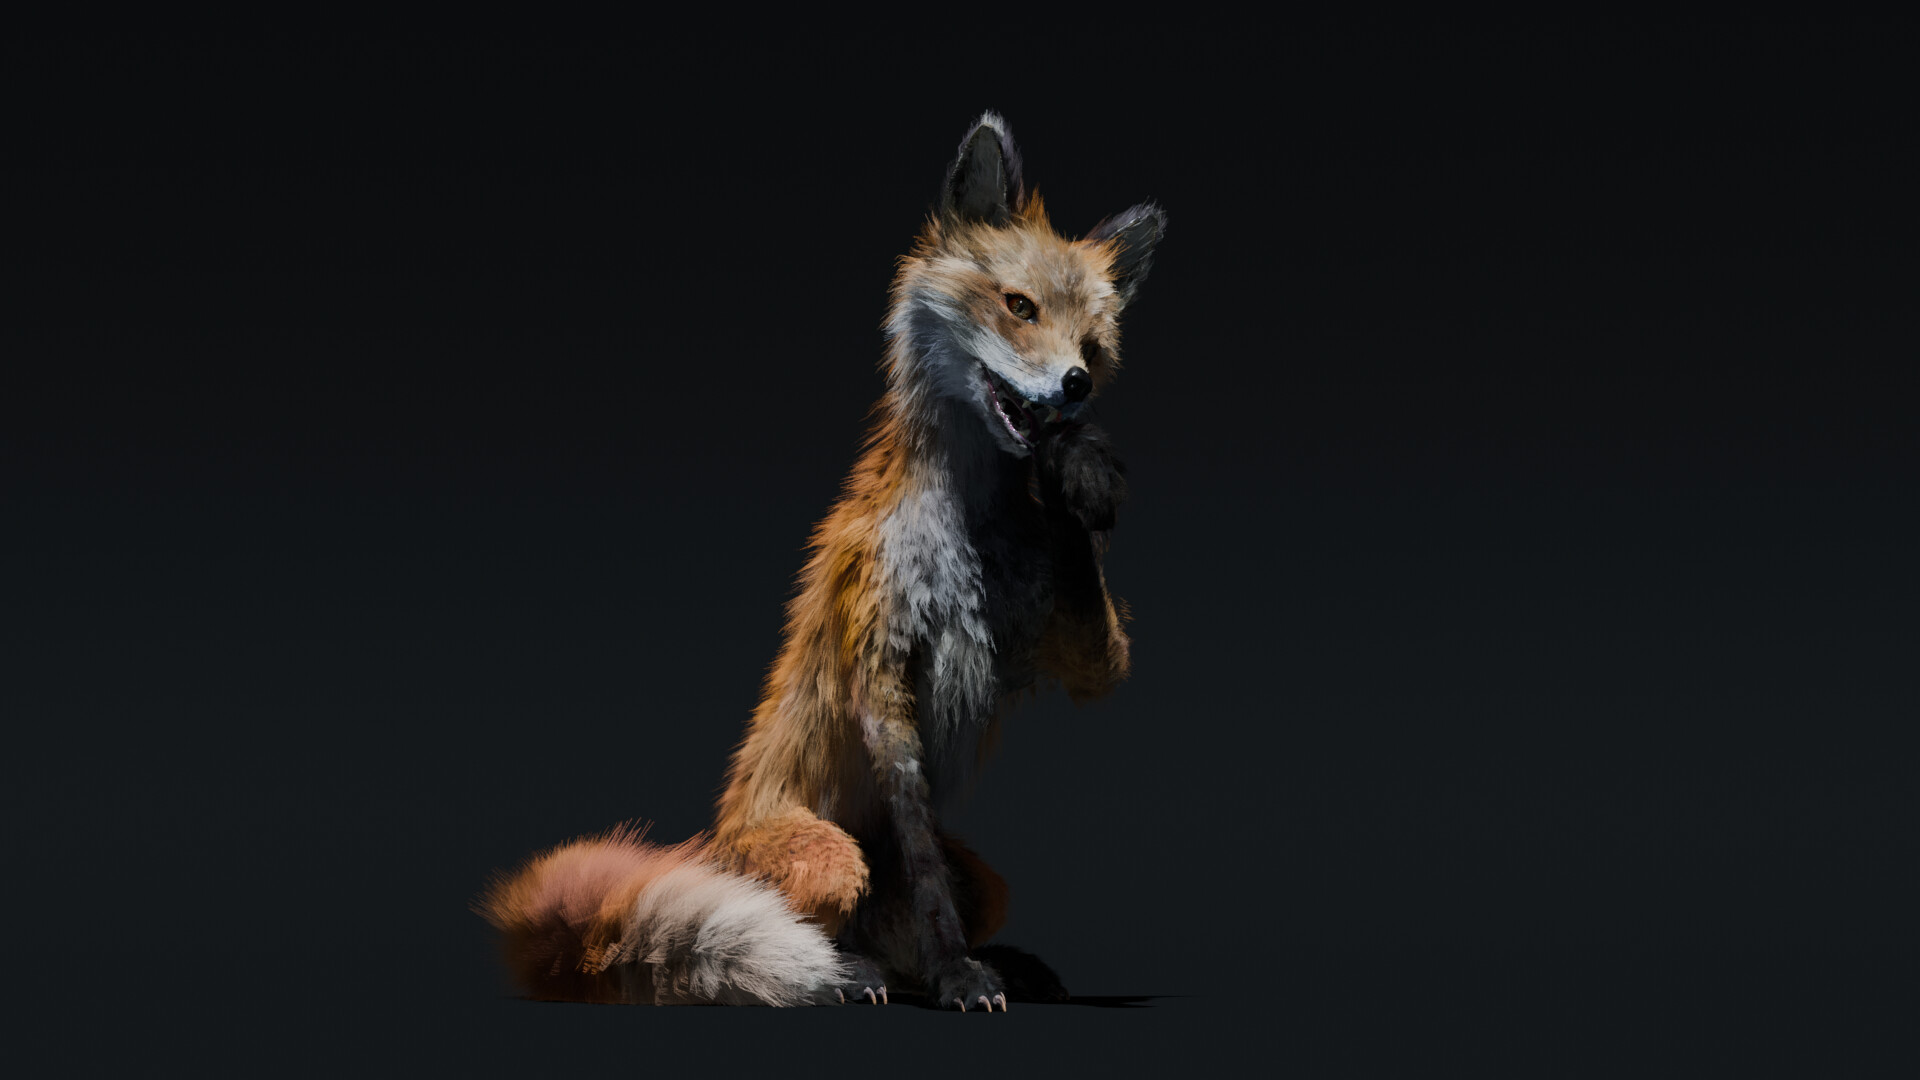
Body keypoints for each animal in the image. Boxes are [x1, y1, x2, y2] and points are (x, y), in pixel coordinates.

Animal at [478, 112, 1165, 1011]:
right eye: (1019, 306)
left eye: (1092, 342)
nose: (1076, 384)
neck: (974, 534)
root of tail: (702, 844)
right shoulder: (881, 664)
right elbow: (922, 862)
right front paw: (957, 974)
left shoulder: (1070, 650)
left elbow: (1096, 636)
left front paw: (1079, 474)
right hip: (833, 858)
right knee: (815, 922)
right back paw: (847, 972)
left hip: (986, 883)